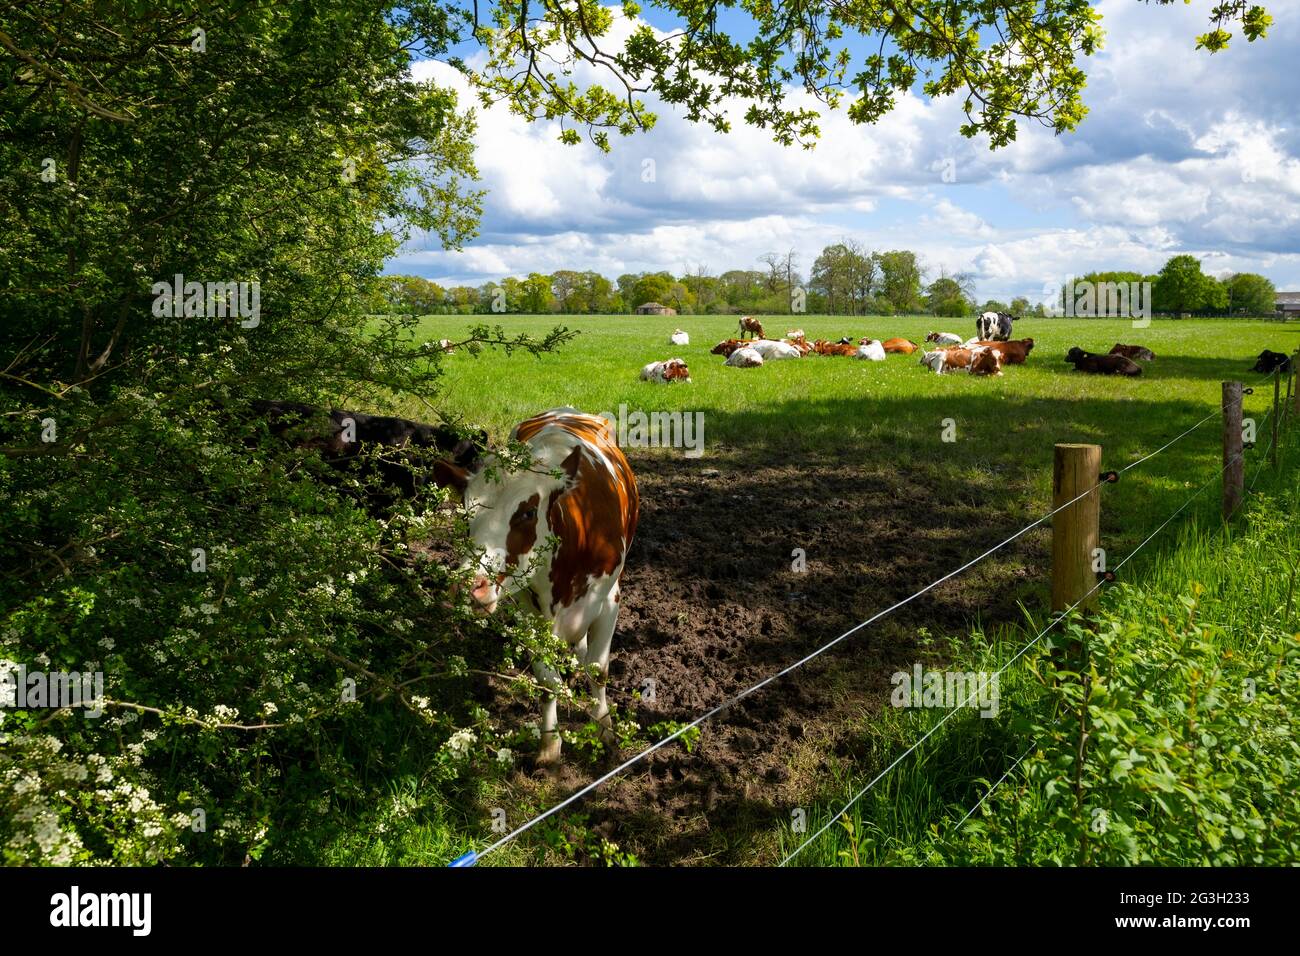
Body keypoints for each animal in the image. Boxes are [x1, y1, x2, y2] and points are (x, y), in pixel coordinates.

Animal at [437, 408, 638, 763]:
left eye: (528, 512)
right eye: (465, 513)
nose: (468, 588)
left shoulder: (610, 600)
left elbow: (598, 669)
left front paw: (605, 730)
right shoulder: (527, 611)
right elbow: (547, 681)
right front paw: (550, 745)